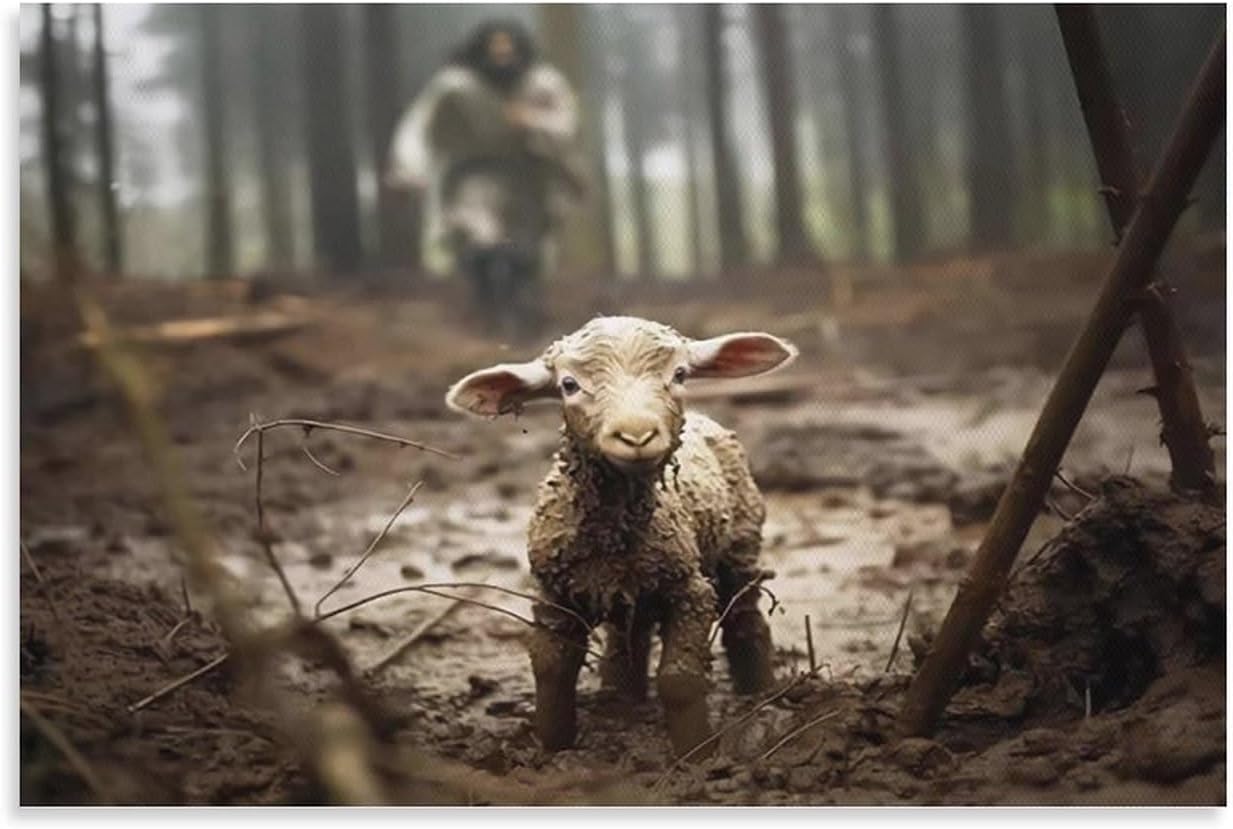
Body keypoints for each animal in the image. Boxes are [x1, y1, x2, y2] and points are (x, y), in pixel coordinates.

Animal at [445, 316, 797, 757]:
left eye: (680, 374)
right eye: (569, 385)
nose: (636, 436)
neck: (613, 533)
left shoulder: (690, 590)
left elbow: (680, 678)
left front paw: (696, 754)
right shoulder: (553, 592)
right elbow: (551, 668)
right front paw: (552, 746)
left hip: (740, 545)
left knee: (745, 616)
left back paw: (759, 693)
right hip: (634, 587)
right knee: (629, 636)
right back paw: (621, 699)